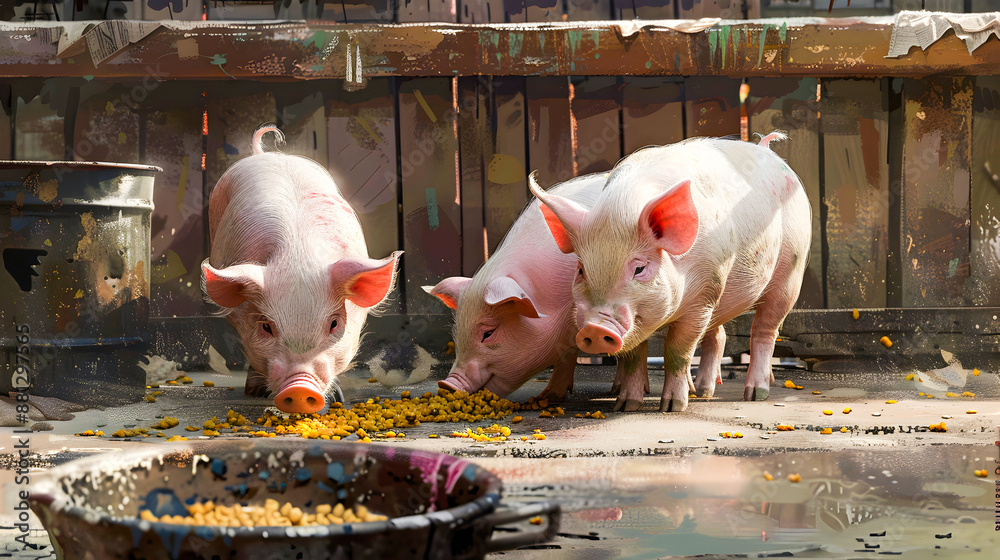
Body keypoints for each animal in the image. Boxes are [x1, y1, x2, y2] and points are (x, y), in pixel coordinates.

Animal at [201, 125, 401, 414]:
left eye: (334, 324)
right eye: (266, 327)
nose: (299, 387)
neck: (299, 256)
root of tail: (266, 154)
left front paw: (338, 398)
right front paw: (257, 392)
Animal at [530, 132, 810, 412]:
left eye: (640, 268)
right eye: (580, 270)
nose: (594, 328)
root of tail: (766, 148)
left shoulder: (703, 295)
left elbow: (677, 352)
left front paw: (672, 407)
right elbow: (635, 356)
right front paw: (626, 406)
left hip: (791, 271)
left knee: (765, 330)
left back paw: (755, 394)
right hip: (722, 295)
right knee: (718, 335)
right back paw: (704, 392)